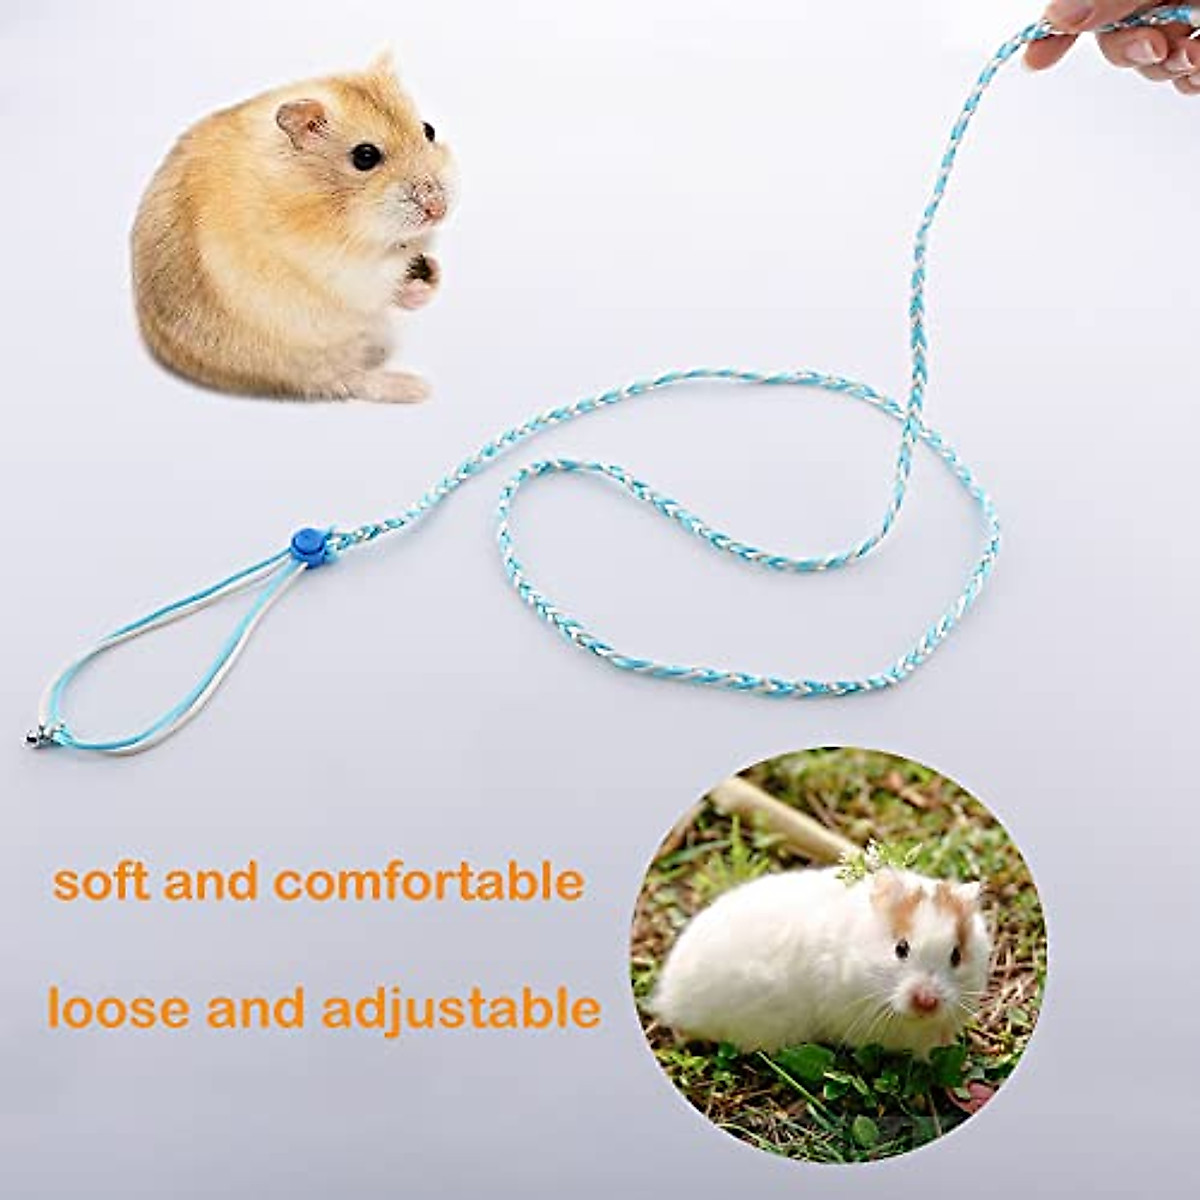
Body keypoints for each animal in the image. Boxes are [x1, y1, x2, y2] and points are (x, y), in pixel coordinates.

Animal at [131, 53, 455, 402]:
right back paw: (415, 387)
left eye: (428, 130)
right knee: (350, 381)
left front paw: (430, 266)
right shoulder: (342, 270)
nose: (438, 209)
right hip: (311, 356)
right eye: (365, 156)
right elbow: (384, 278)